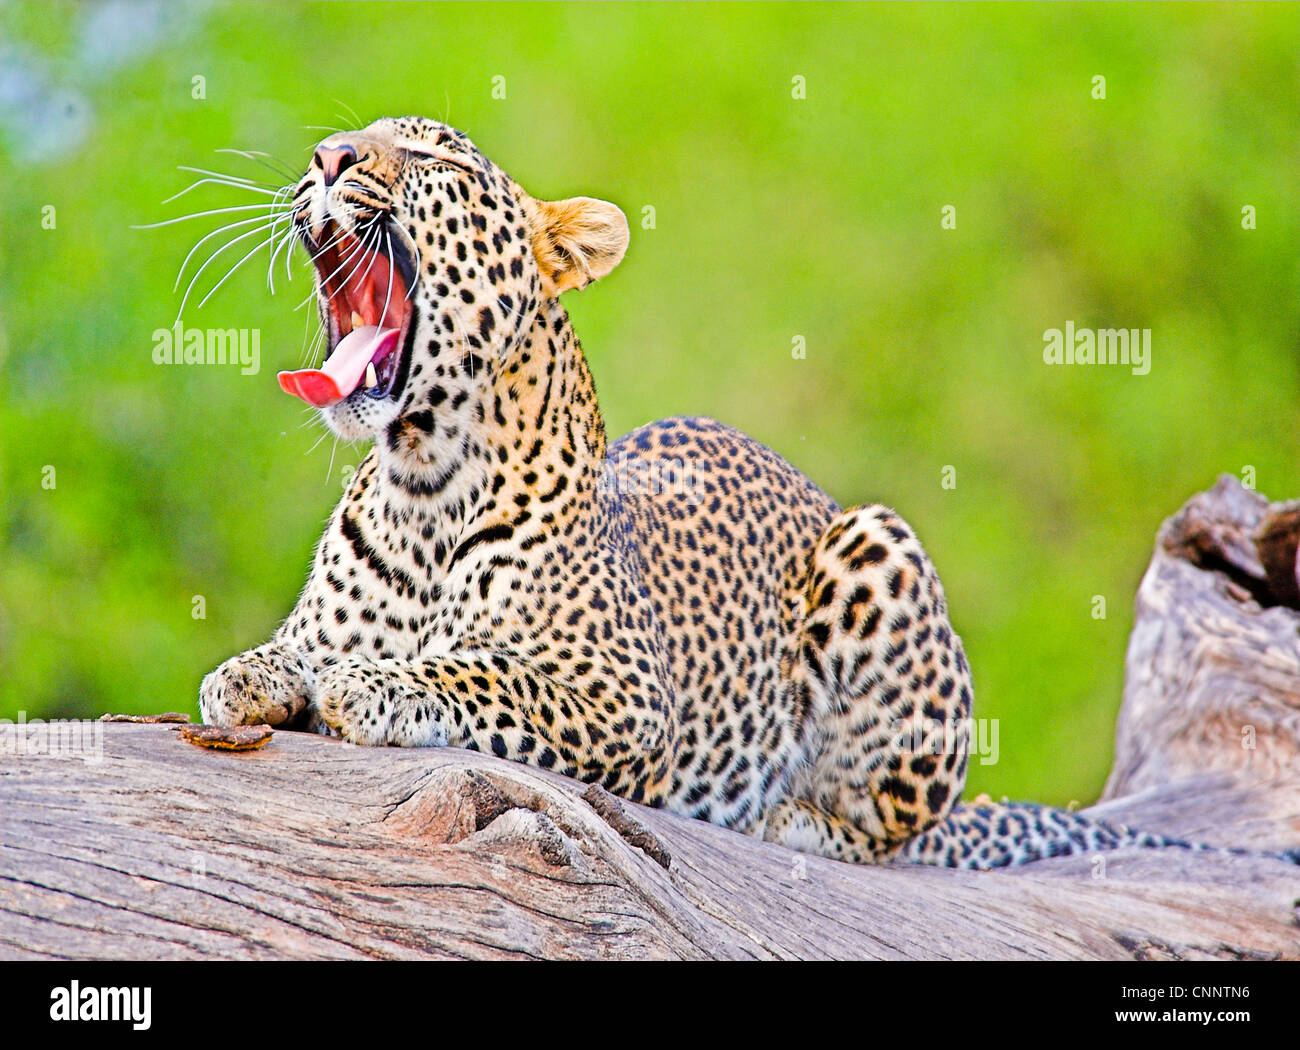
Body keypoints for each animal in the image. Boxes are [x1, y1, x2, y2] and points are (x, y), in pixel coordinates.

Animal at [198, 116, 1298, 870]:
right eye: (348, 142)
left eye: (439, 161)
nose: (329, 156)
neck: (422, 481)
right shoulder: (331, 616)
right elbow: (291, 653)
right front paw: (249, 676)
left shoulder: (622, 697)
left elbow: (477, 674)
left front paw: (377, 686)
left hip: (879, 551)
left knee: (901, 831)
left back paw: (793, 819)